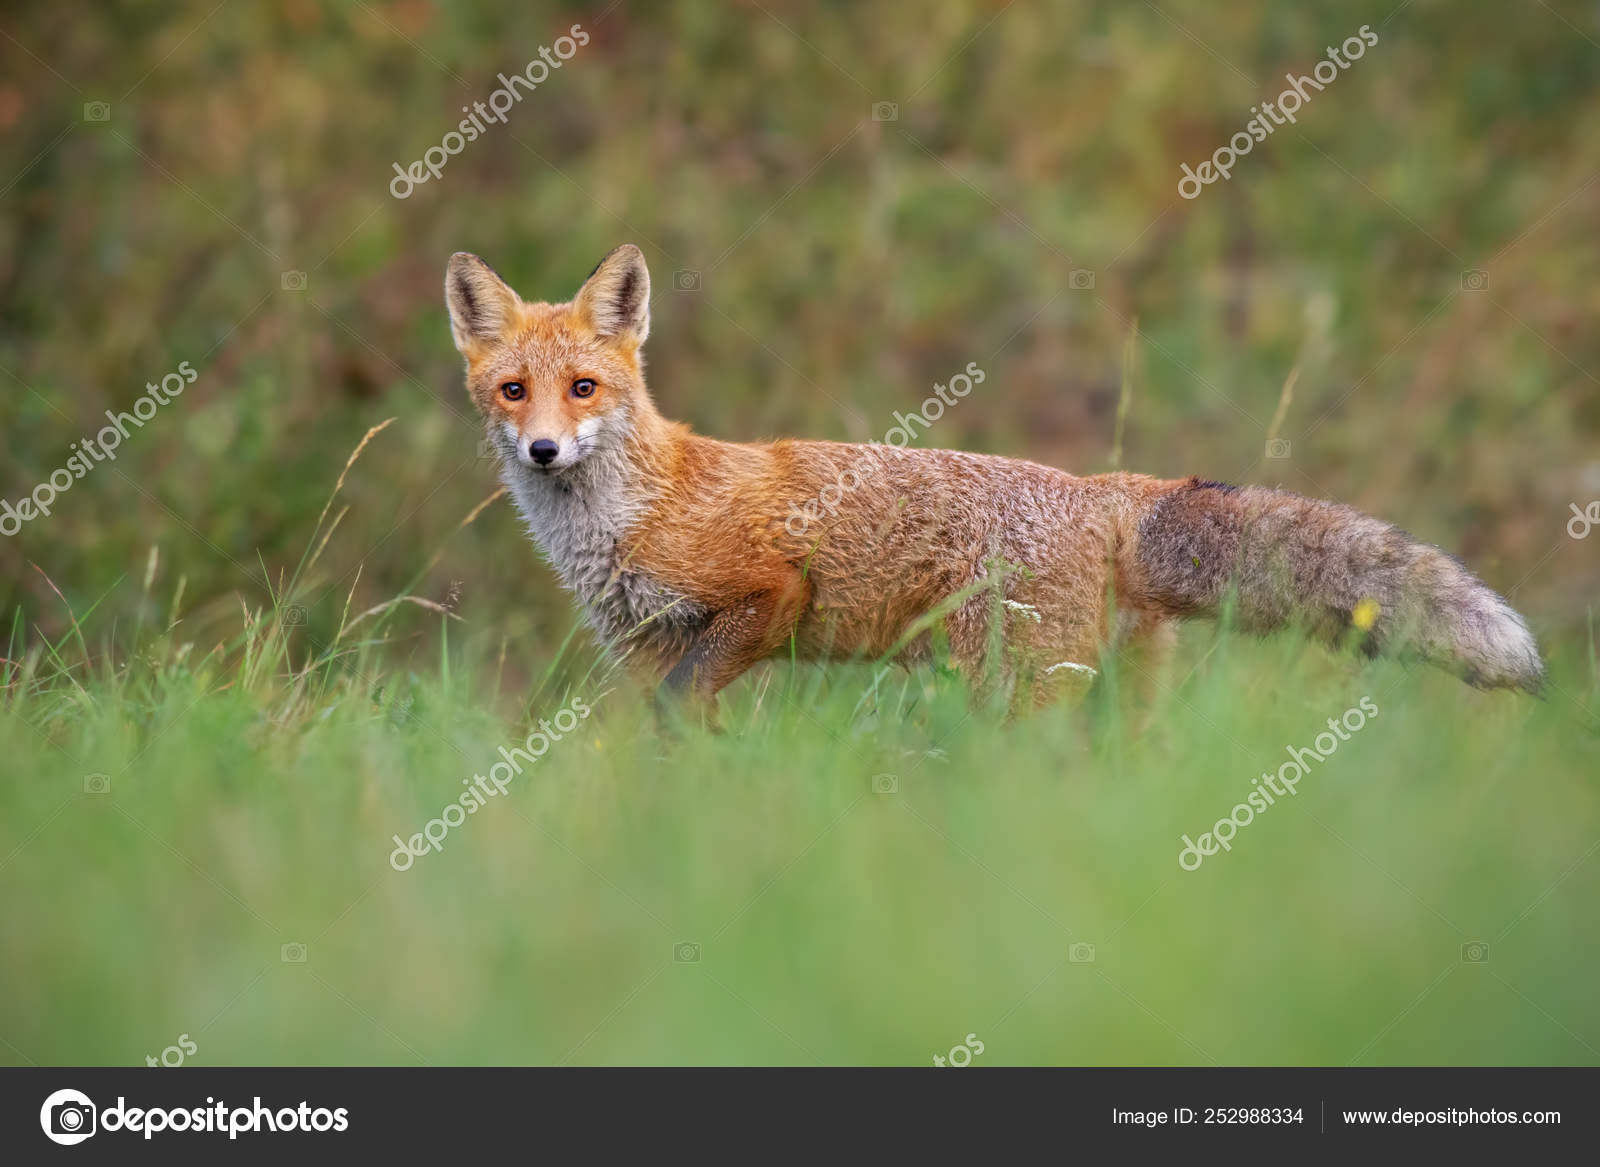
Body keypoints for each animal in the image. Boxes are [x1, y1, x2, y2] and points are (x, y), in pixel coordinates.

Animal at [445, 244, 1543, 714]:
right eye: (513, 392)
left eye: (583, 389)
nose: (543, 451)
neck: (630, 515)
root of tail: (1107, 487)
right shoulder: (636, 647)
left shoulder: (765, 593)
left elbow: (685, 704)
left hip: (1004, 690)